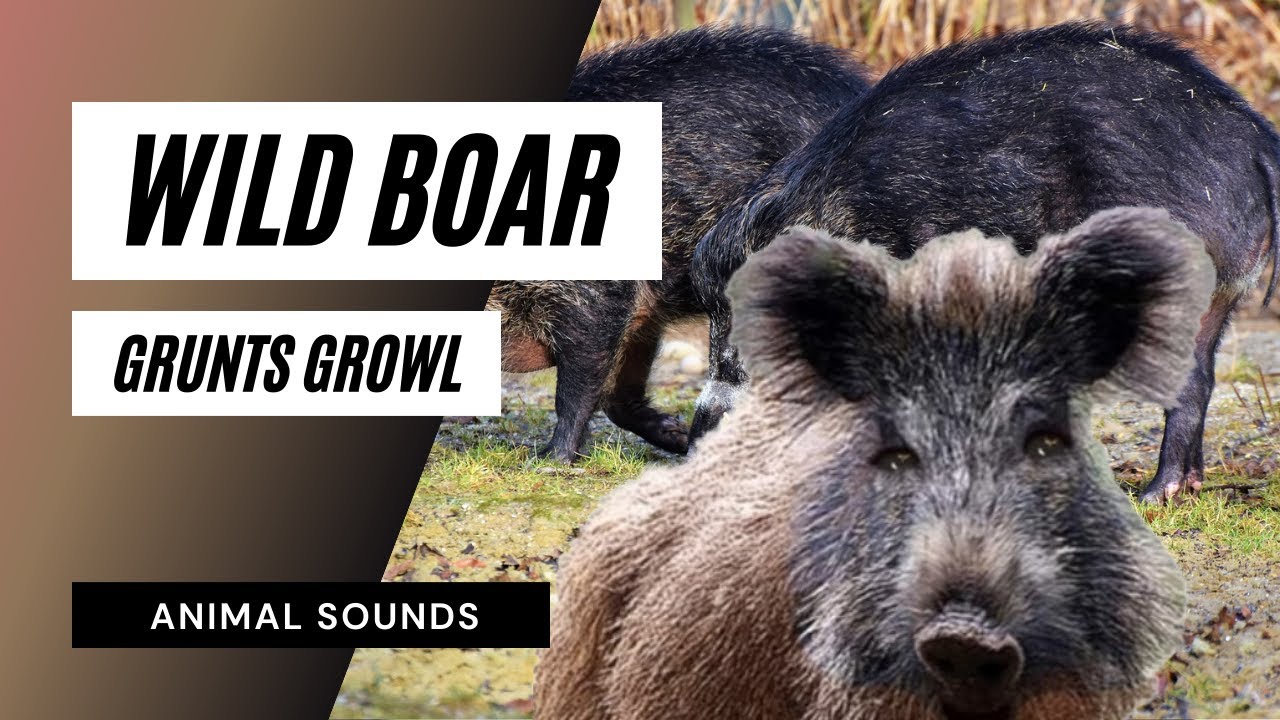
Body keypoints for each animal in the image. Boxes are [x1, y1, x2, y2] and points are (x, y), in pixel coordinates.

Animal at [487, 26, 869, 462]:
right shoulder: (641, 312)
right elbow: (618, 392)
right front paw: (676, 436)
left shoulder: (596, 297)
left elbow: (580, 384)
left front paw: (551, 458)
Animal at [689, 22, 1280, 503]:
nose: (695, 443)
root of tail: (1255, 138)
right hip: (1220, 294)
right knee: (1199, 378)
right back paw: (1177, 490)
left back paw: (1153, 495)